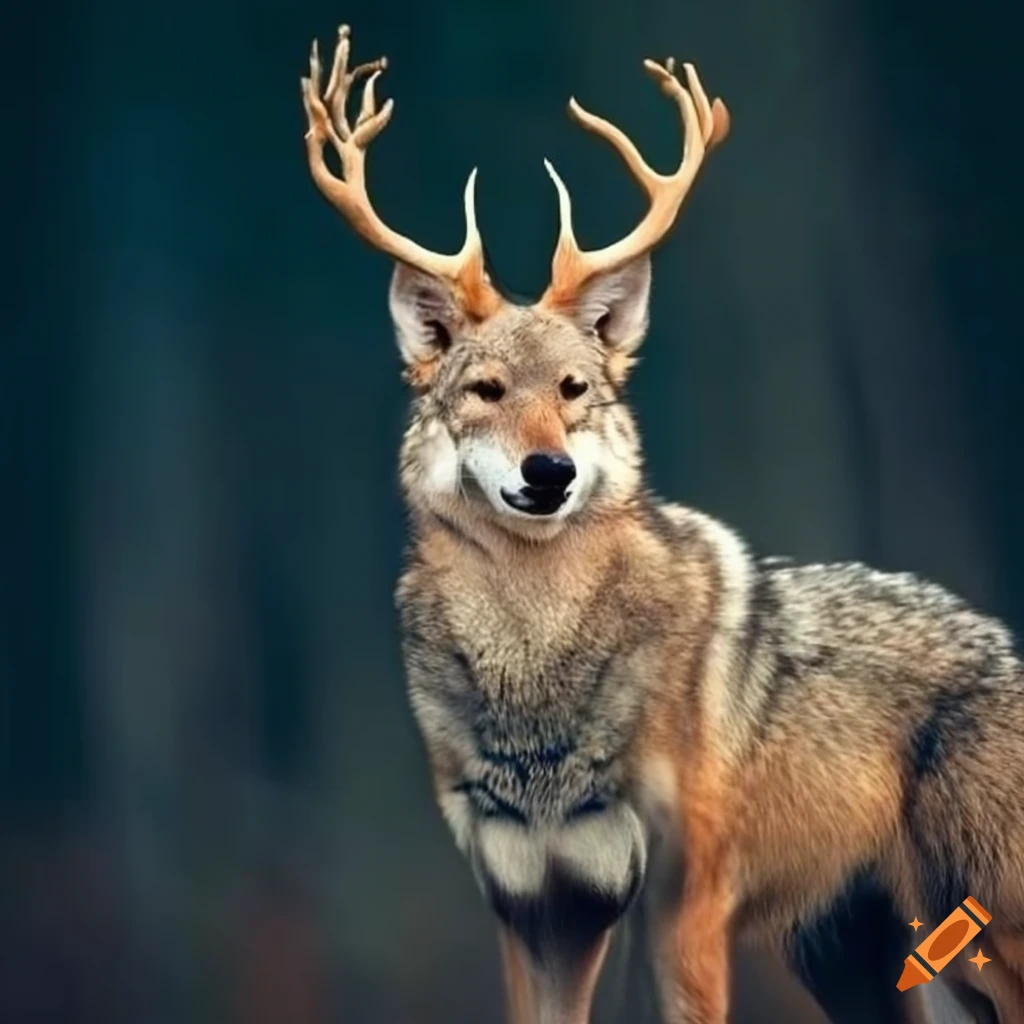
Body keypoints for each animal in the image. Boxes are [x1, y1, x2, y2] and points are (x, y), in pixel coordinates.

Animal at [300, 23, 1024, 1024]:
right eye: (486, 391)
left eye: (574, 390)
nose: (549, 472)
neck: (537, 692)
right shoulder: (533, 905)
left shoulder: (687, 898)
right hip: (871, 961)